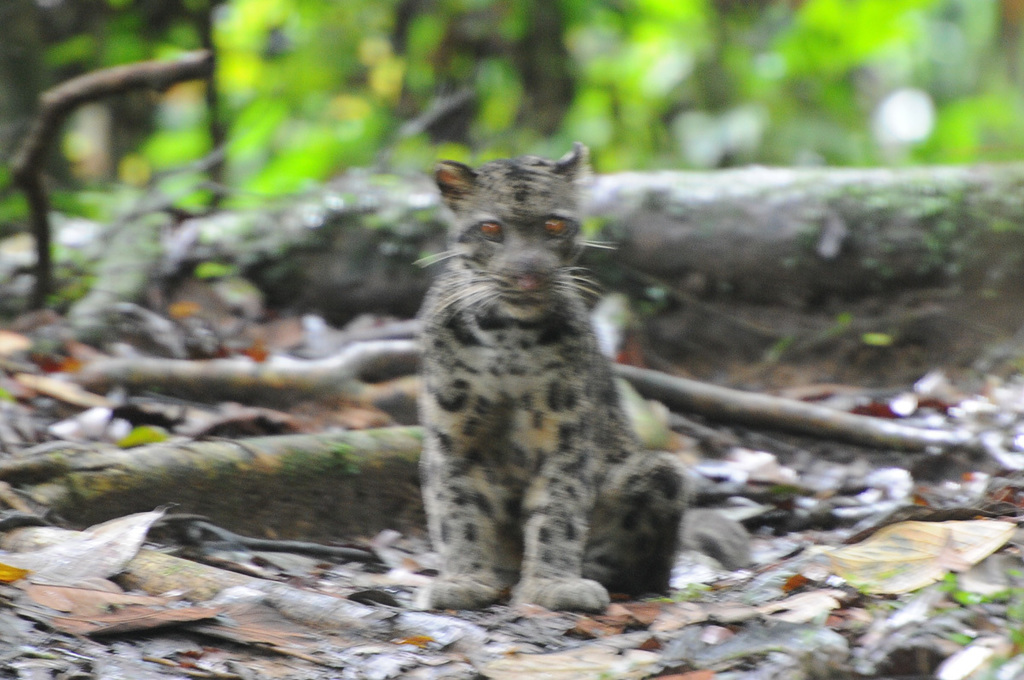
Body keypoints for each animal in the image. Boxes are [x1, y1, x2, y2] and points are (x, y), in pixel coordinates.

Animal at [417, 143, 728, 613]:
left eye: (554, 224)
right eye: (491, 228)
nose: (528, 274)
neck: (507, 337)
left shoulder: (565, 439)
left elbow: (557, 513)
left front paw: (553, 585)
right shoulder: (454, 441)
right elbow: (457, 510)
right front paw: (464, 579)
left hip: (660, 471)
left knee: (644, 570)